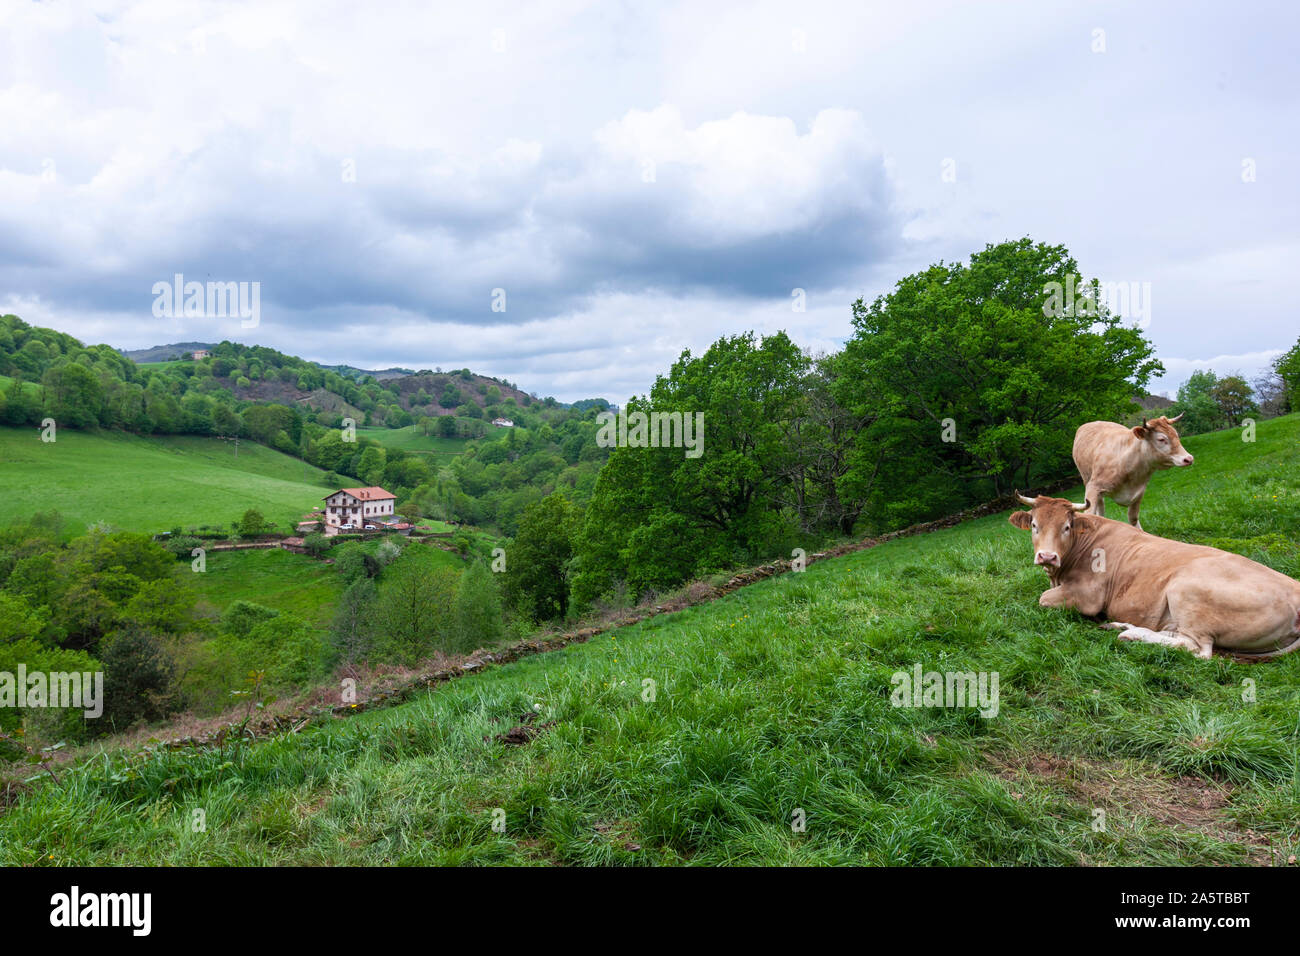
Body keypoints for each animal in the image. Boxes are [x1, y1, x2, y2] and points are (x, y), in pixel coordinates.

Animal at [1007, 493, 1300, 660]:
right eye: (1034, 525)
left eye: (1067, 526)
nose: (1047, 556)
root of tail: (1294, 589)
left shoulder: (1088, 596)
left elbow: (1043, 598)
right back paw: (1123, 626)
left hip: (1186, 591)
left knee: (1196, 648)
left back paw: (1130, 635)